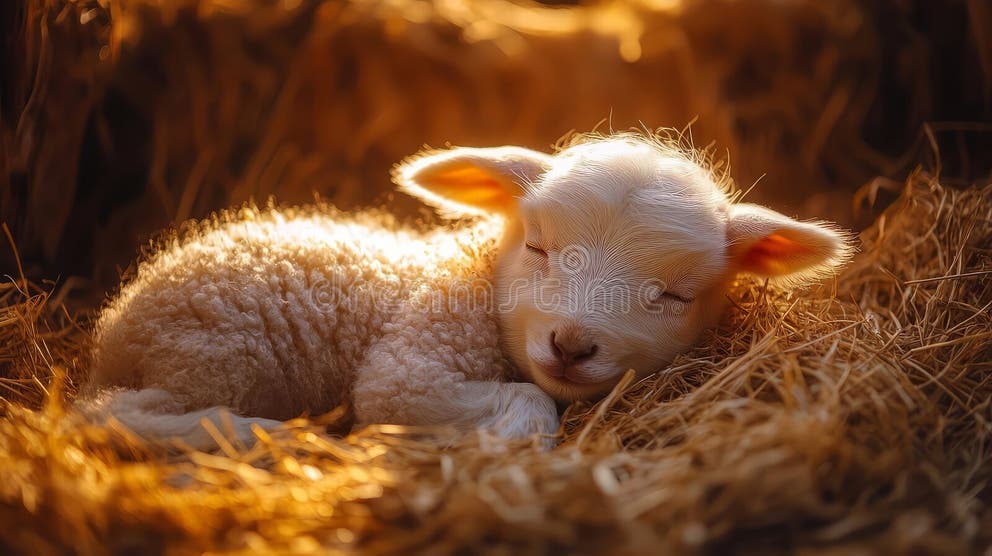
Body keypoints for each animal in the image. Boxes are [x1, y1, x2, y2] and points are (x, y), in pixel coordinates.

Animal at [80, 132, 851, 449]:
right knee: (105, 415)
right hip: (213, 354)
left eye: (676, 295)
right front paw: (511, 434)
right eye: (538, 246)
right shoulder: (409, 362)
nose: (570, 344)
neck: (476, 272)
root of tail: (117, 324)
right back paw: (251, 432)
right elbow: (528, 399)